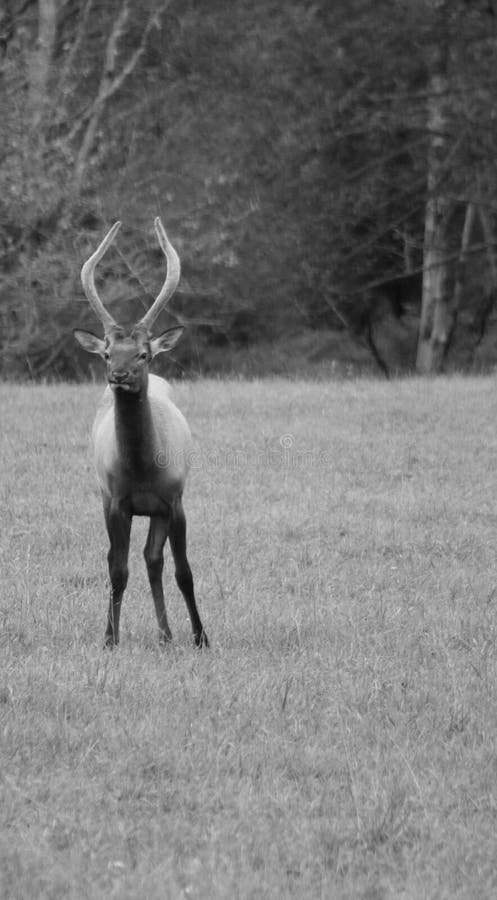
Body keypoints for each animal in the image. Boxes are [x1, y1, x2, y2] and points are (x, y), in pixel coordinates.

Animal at [74, 218, 208, 649]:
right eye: (106, 353)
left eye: (143, 353)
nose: (118, 375)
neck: (144, 469)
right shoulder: (118, 501)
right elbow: (117, 570)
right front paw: (109, 638)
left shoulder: (174, 500)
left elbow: (184, 571)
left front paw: (201, 637)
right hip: (105, 497)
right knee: (126, 559)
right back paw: (161, 633)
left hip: (159, 511)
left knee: (154, 559)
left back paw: (167, 635)